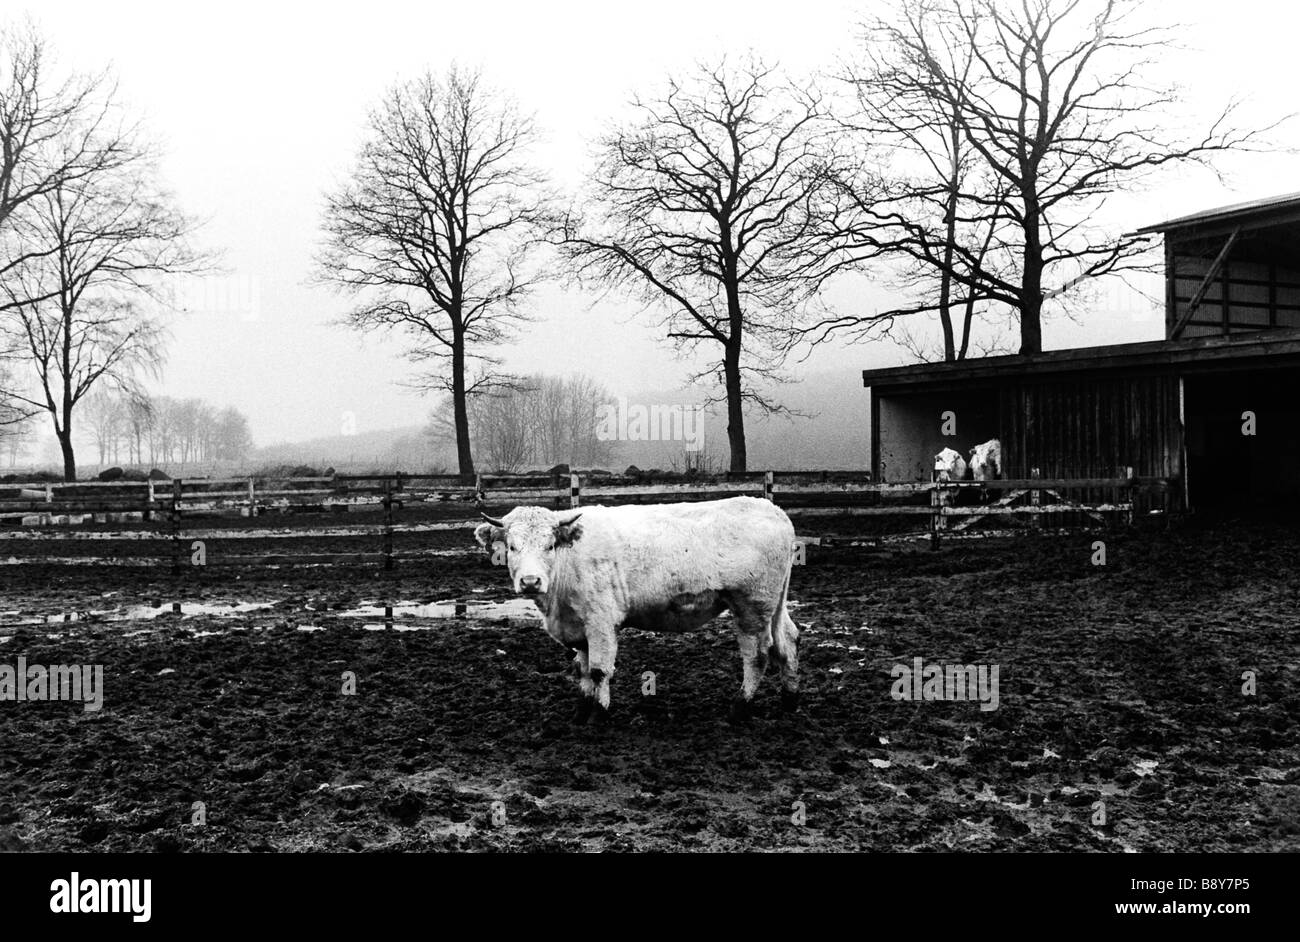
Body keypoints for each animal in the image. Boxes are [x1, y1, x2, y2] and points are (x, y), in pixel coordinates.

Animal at [474, 496, 800, 724]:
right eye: (512, 547)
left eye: (550, 545)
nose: (530, 581)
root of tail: (773, 509)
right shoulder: (579, 627)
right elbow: (581, 669)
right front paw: (580, 712)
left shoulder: (601, 623)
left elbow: (599, 671)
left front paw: (599, 714)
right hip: (773, 606)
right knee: (788, 642)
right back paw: (789, 700)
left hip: (752, 606)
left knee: (757, 655)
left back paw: (739, 708)